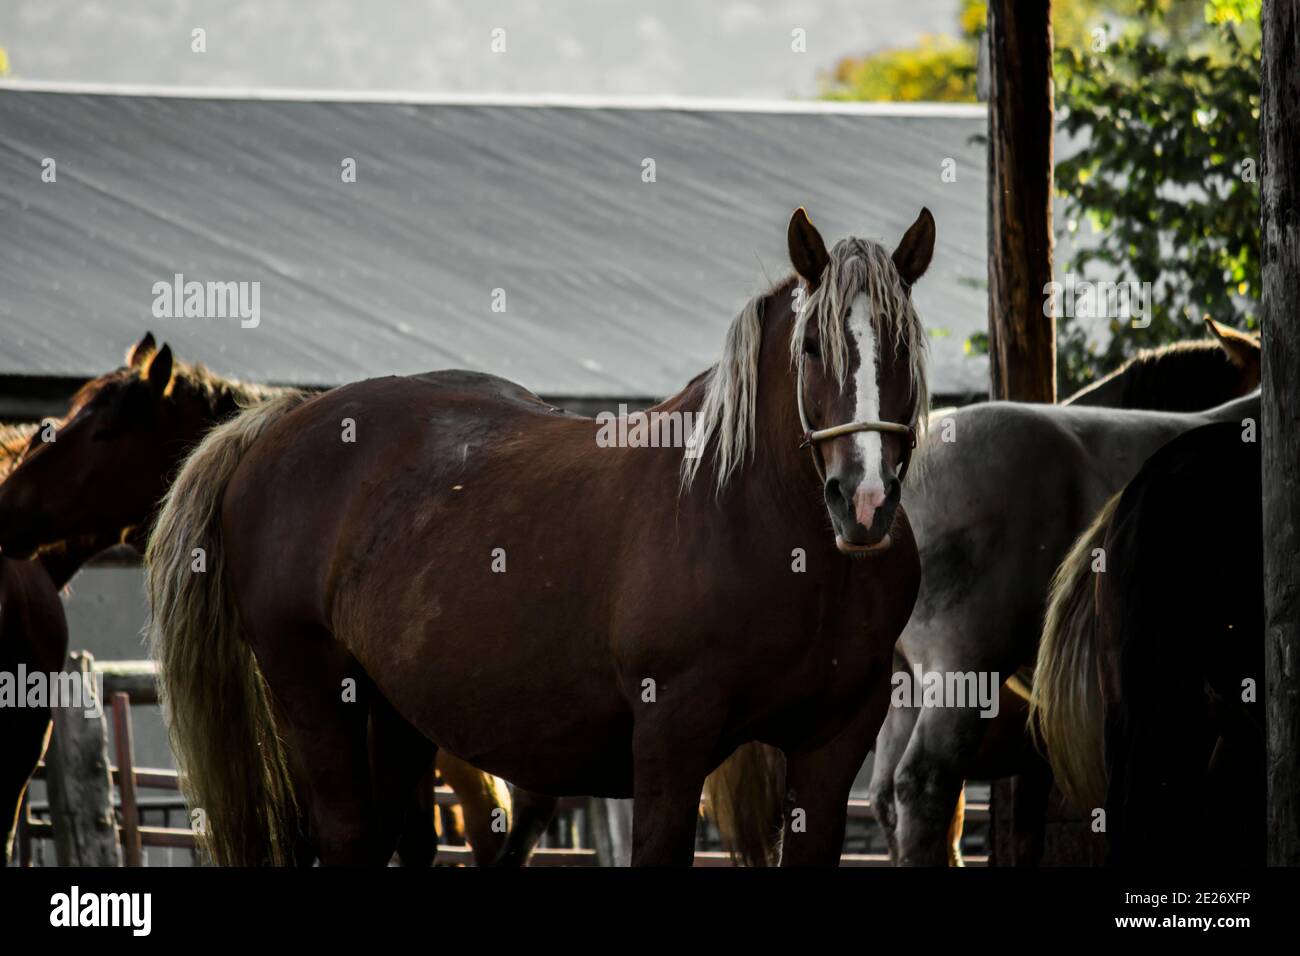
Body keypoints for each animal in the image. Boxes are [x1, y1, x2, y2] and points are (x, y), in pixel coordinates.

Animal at [145, 207, 936, 867]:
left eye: (907, 347)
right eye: (813, 346)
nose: (863, 501)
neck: (762, 527)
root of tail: (281, 423)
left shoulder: (831, 749)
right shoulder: (671, 744)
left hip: (393, 714)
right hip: (313, 695)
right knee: (345, 837)